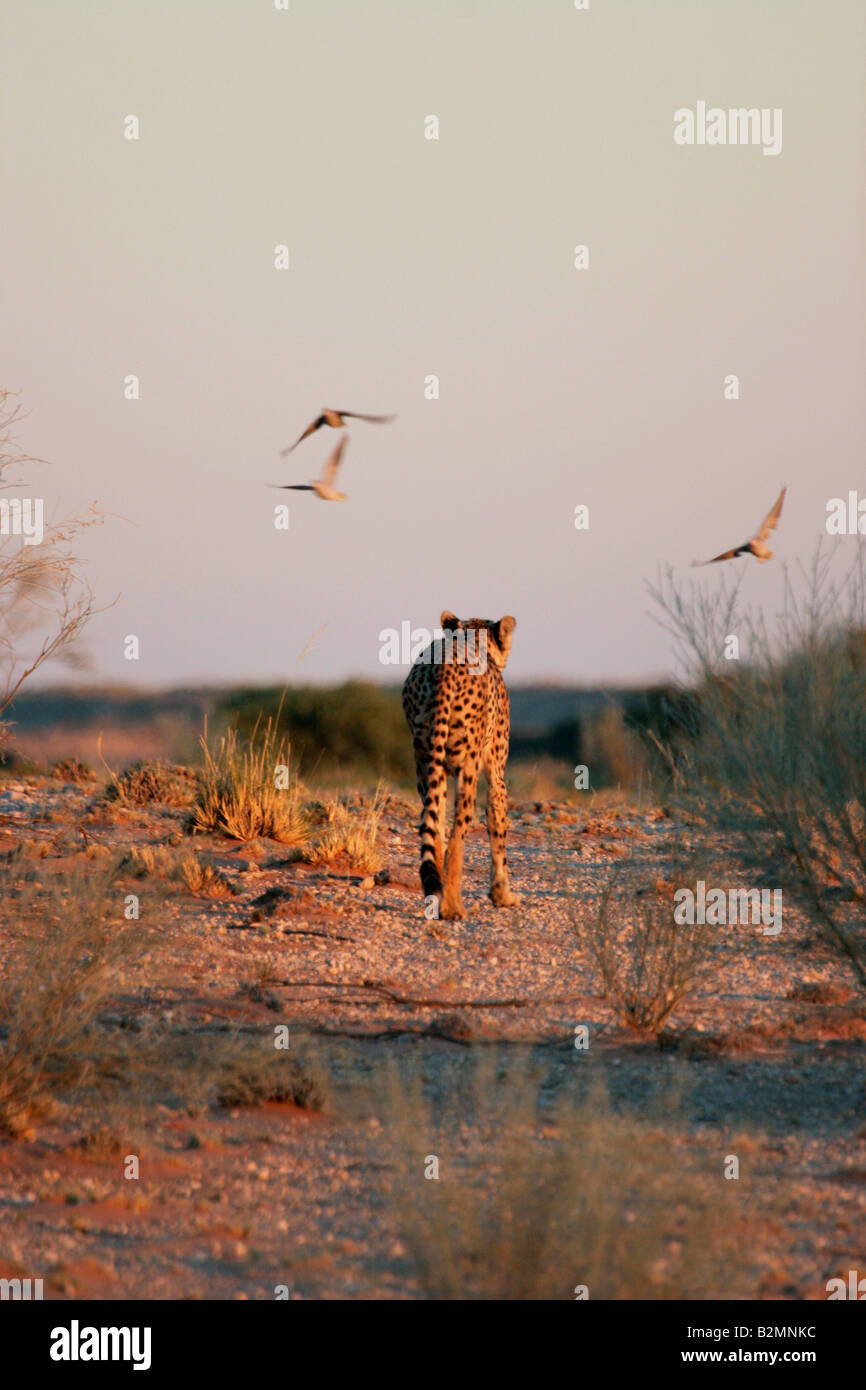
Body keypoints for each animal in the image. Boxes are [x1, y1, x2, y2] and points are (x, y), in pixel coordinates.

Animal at [401, 610, 519, 921]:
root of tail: (444, 666)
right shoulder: (496, 775)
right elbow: (498, 828)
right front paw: (502, 894)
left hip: (425, 760)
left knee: (435, 828)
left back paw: (438, 895)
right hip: (467, 768)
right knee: (457, 834)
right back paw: (453, 906)